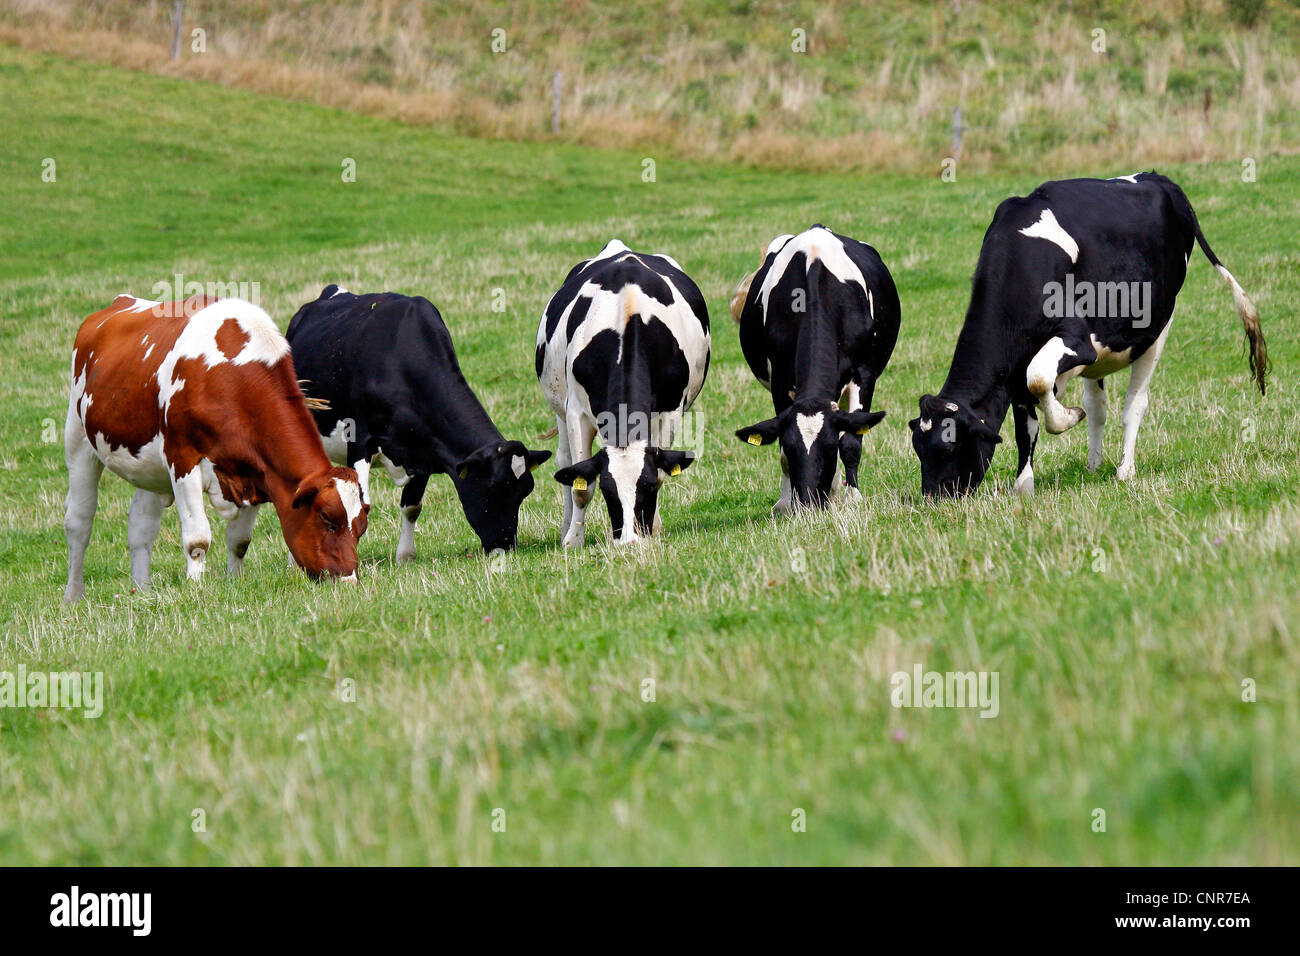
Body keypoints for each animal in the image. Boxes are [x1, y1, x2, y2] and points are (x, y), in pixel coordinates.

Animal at [64, 295, 368, 601]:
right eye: (327, 519)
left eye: (361, 528)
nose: (349, 582)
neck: (233, 379)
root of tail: (119, 303)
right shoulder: (182, 460)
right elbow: (197, 539)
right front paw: (195, 588)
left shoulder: (257, 474)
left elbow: (239, 541)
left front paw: (235, 581)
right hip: (78, 441)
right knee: (79, 522)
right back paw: (74, 595)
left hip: (149, 470)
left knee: (141, 528)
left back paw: (144, 591)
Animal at [286, 286, 551, 559]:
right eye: (494, 487)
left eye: (525, 490)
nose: (505, 546)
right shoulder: (360, 441)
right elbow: (357, 506)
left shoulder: (425, 450)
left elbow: (412, 505)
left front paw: (405, 556)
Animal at [536, 240, 710, 547]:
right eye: (608, 490)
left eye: (648, 486)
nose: (629, 540)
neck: (628, 316)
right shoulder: (576, 411)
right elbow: (581, 484)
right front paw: (573, 540)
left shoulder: (671, 411)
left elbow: (663, 469)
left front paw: (652, 529)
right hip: (559, 408)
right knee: (565, 463)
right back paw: (566, 527)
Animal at [730, 226, 898, 512]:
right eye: (791, 447)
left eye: (830, 449)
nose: (810, 501)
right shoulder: (780, 380)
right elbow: (781, 452)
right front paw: (786, 504)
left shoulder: (863, 374)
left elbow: (851, 441)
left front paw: (852, 497)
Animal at [910, 172, 1268, 498]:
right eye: (918, 448)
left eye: (949, 448)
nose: (933, 499)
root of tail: (1157, 178)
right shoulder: (1016, 366)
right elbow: (1026, 427)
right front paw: (1024, 486)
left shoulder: (1076, 342)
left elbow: (1039, 381)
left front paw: (1068, 418)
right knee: (1098, 406)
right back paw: (1094, 465)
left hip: (1158, 327)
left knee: (1134, 403)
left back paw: (1125, 469)